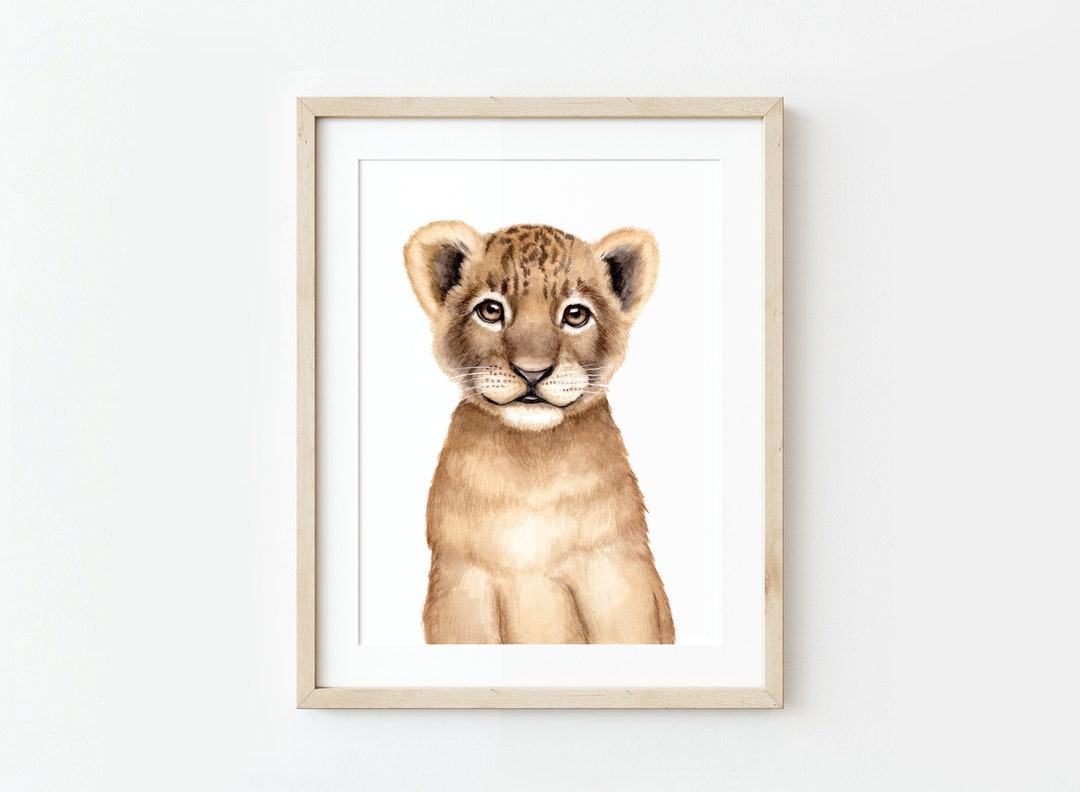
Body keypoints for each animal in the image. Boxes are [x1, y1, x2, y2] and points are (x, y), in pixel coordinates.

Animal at [404, 221, 674, 644]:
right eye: (491, 310)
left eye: (576, 314)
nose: (532, 371)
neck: (532, 466)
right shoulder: (460, 589)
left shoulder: (618, 581)